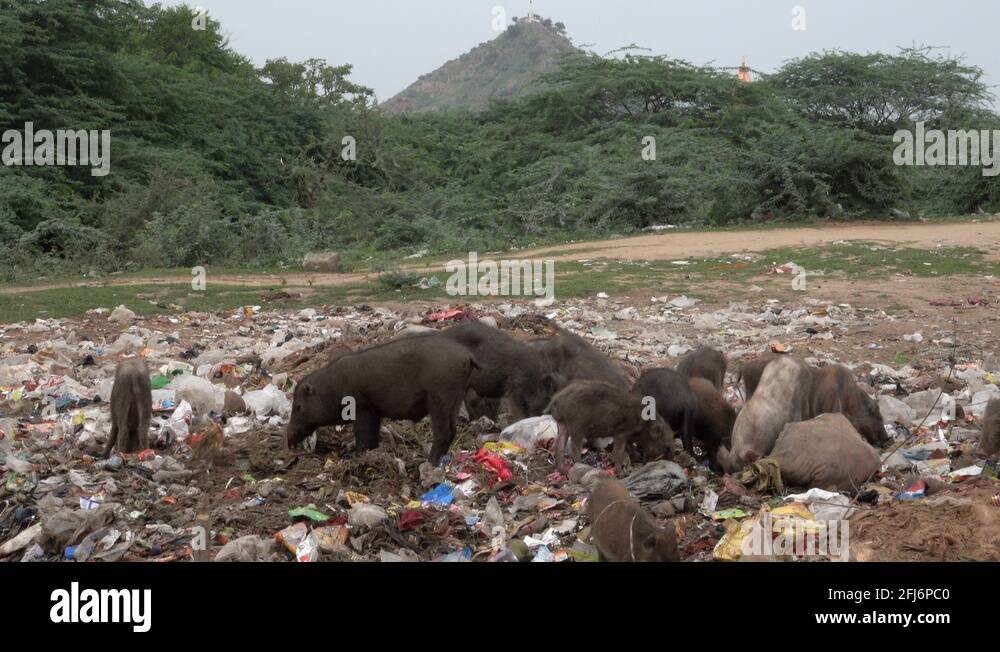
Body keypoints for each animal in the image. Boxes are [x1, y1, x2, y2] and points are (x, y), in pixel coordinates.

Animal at [286, 334, 475, 465]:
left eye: (298, 406)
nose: (288, 441)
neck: (332, 389)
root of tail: (467, 355)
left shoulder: (362, 409)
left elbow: (364, 436)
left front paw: (356, 457)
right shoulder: (374, 413)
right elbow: (373, 437)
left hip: (440, 399)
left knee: (444, 433)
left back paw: (429, 462)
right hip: (454, 401)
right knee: (452, 431)